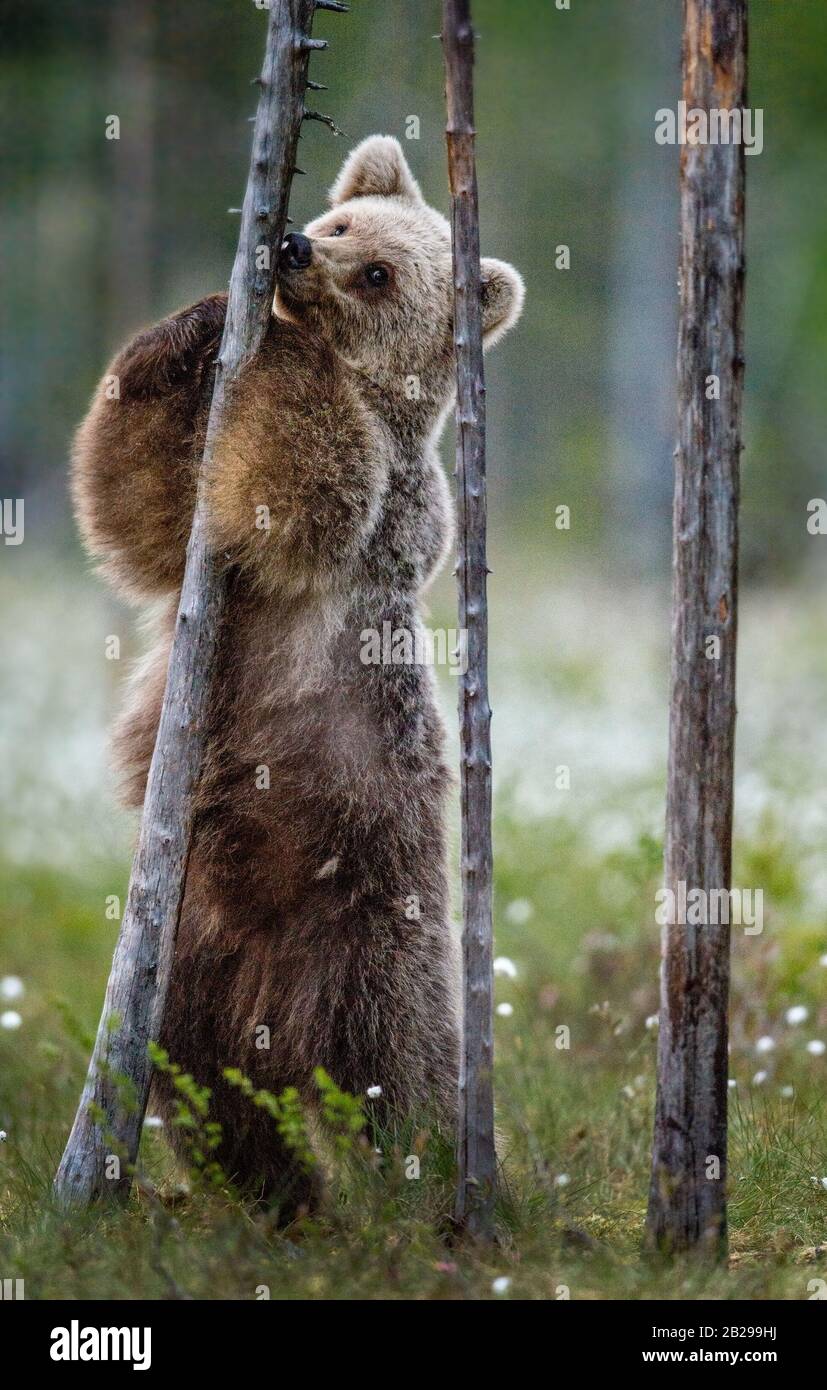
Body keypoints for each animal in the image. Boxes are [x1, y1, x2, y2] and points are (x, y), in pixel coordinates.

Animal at [71, 135, 524, 1213]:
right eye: (340, 221)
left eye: (378, 272)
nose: (291, 250)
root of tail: (277, 1017)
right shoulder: (205, 565)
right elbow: (137, 502)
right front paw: (195, 322)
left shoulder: (387, 510)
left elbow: (307, 487)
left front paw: (283, 346)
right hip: (183, 966)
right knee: (201, 1089)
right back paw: (277, 1197)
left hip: (374, 937)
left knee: (403, 1077)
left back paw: (433, 1189)